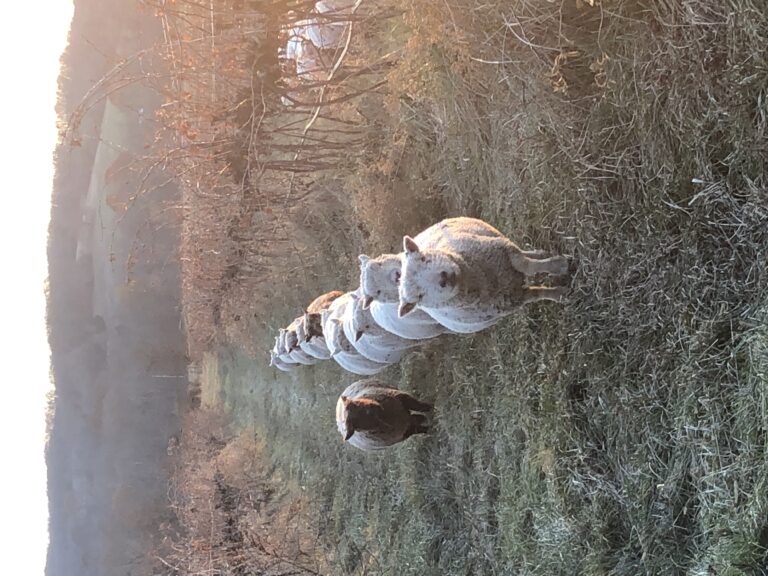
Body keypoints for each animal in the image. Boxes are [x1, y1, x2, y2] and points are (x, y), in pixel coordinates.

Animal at [397, 217, 570, 329]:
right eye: (419, 296)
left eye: (423, 258)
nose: (443, 279)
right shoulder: (514, 298)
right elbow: (537, 293)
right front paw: (559, 293)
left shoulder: (503, 250)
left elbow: (527, 265)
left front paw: (559, 266)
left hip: (494, 237)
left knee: (525, 254)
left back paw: (540, 254)